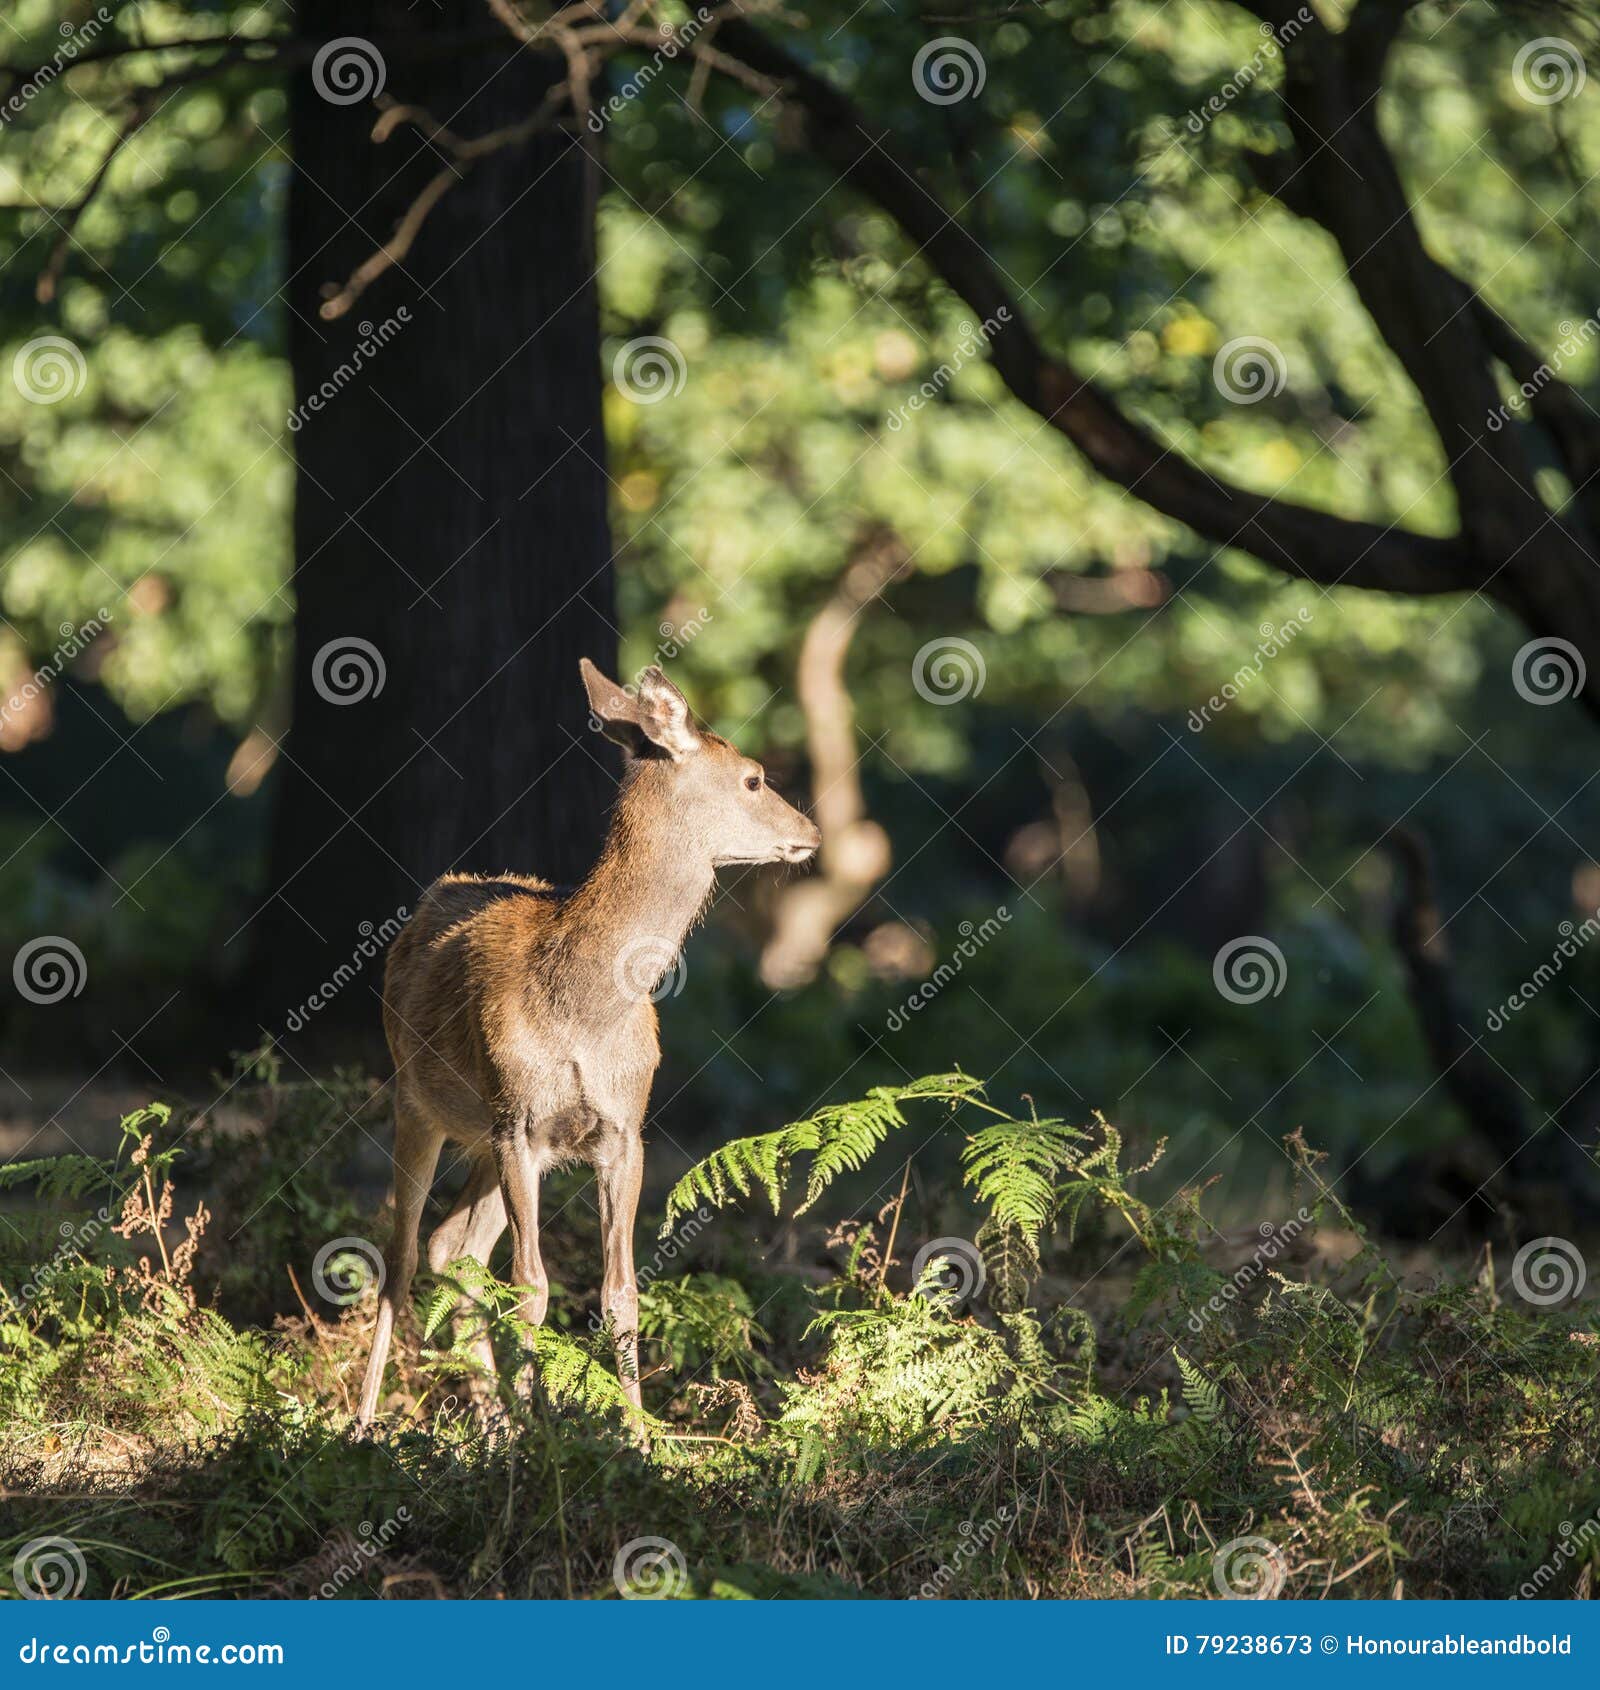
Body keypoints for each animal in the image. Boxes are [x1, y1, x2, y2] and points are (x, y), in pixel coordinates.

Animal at [355, 659, 821, 1429]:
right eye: (754, 777)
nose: (810, 831)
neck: (584, 1012)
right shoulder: (517, 1123)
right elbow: (531, 1284)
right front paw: (540, 1431)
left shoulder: (623, 1128)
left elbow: (620, 1289)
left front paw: (635, 1436)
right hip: (420, 1102)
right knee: (399, 1257)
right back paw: (364, 1423)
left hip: (488, 1137)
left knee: (453, 1245)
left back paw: (489, 1426)